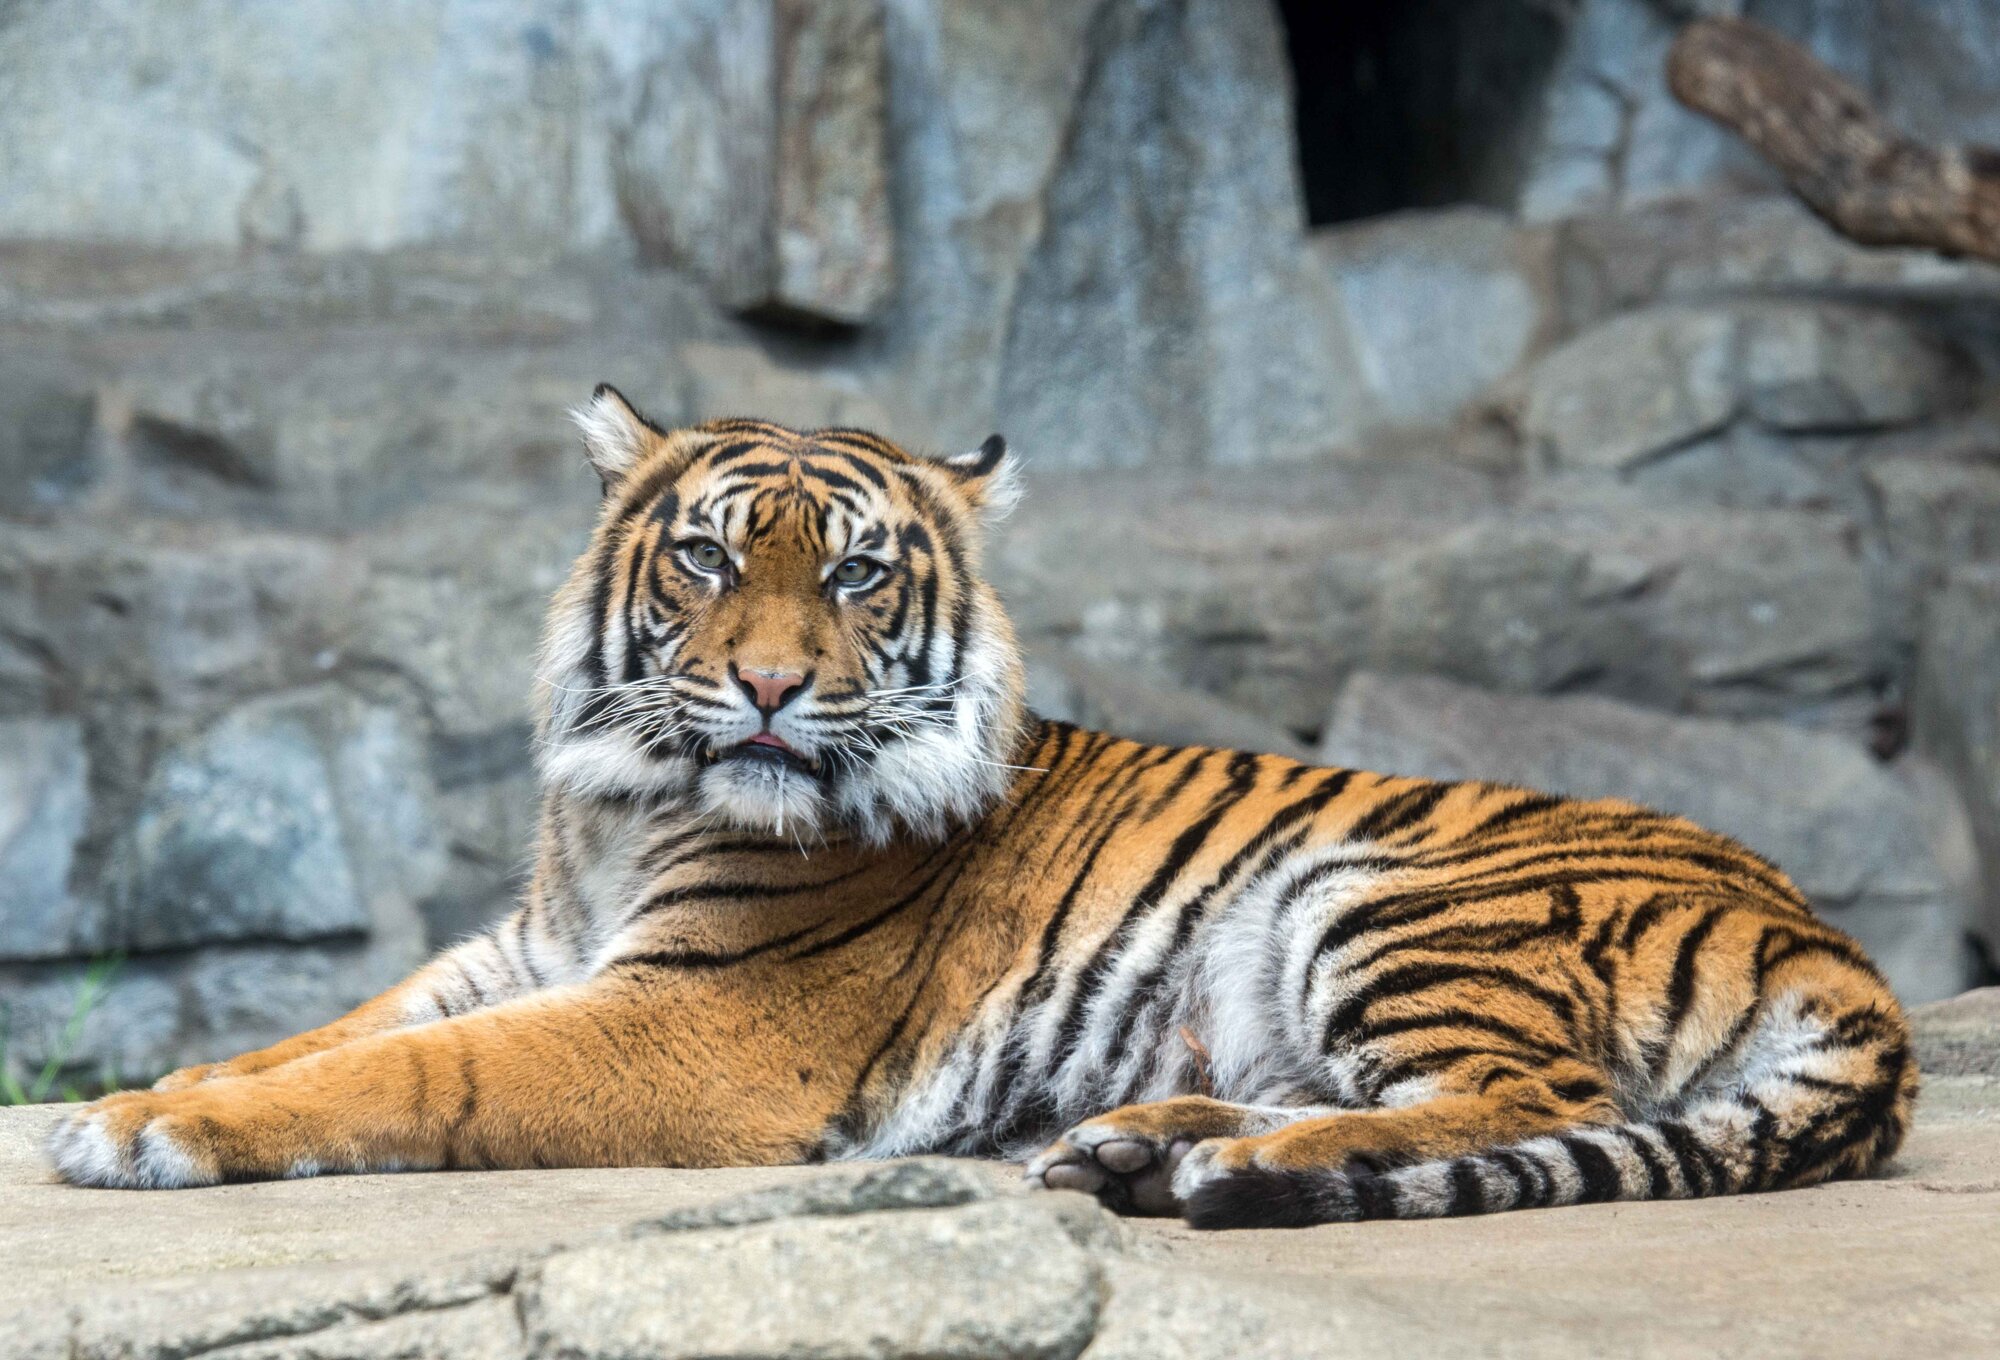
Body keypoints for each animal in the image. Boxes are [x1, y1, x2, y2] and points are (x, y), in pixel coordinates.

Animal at [47, 388, 1918, 1229]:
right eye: (710, 558)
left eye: (858, 575)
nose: (771, 689)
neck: (622, 813)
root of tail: (1842, 957)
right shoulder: (521, 955)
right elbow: (327, 1032)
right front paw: (153, 1088)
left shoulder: (698, 1022)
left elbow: (411, 1075)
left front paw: (151, 1128)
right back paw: (1139, 1144)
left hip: (1378, 895)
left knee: (1529, 1095)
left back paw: (1239, 1166)